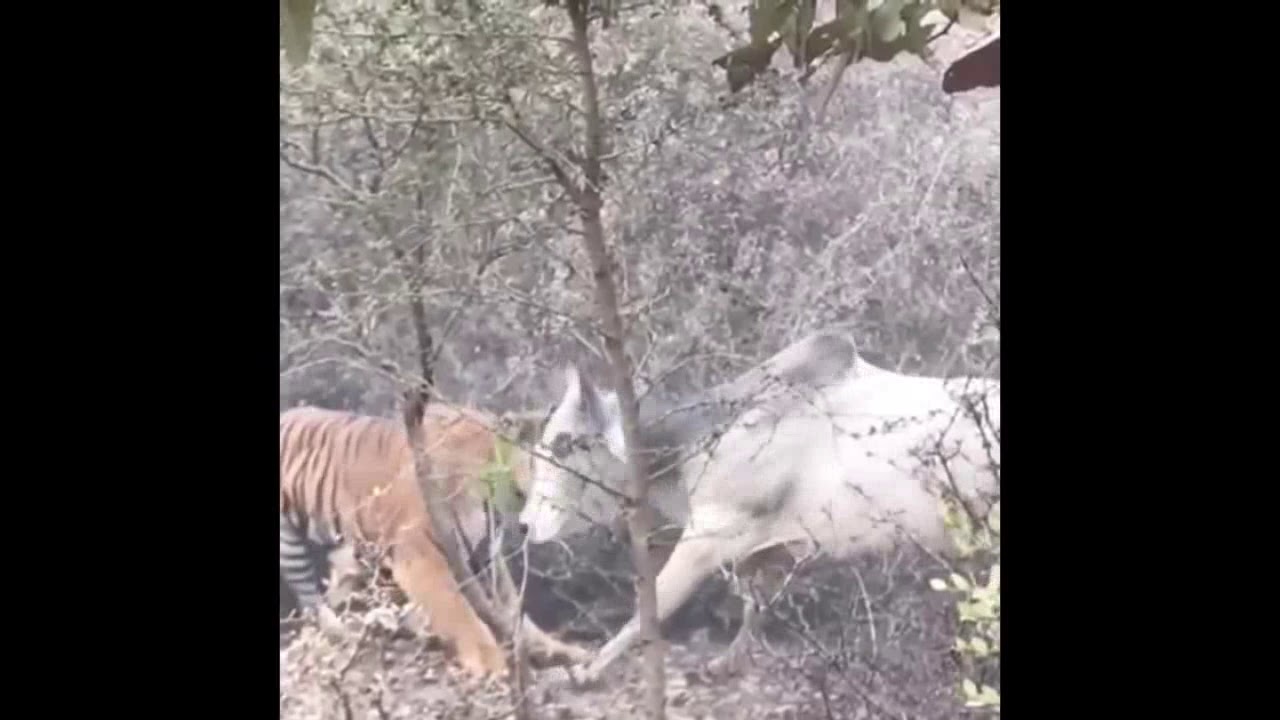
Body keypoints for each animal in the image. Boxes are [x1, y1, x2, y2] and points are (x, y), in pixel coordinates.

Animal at [279, 402, 585, 678]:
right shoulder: (419, 551)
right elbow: (455, 606)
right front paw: (489, 661)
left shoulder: (484, 552)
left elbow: (512, 605)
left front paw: (556, 650)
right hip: (290, 546)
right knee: (310, 599)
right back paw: (339, 634)